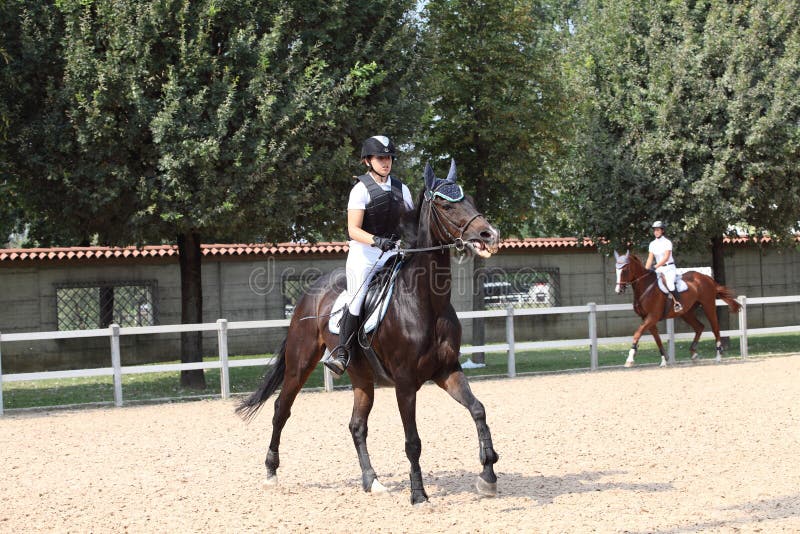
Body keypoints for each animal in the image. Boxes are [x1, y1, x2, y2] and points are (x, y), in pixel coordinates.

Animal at [236, 160, 501, 505]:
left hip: (362, 377)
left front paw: (488, 474)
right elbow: (413, 441)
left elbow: (478, 409)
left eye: (468, 198)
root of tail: (311, 292)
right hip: (300, 363)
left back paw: (371, 480)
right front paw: (419, 496)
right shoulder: (405, 383)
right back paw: (270, 472)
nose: (489, 234)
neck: (426, 302)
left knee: (356, 425)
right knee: (282, 408)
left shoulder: (447, 371)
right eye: (446, 205)